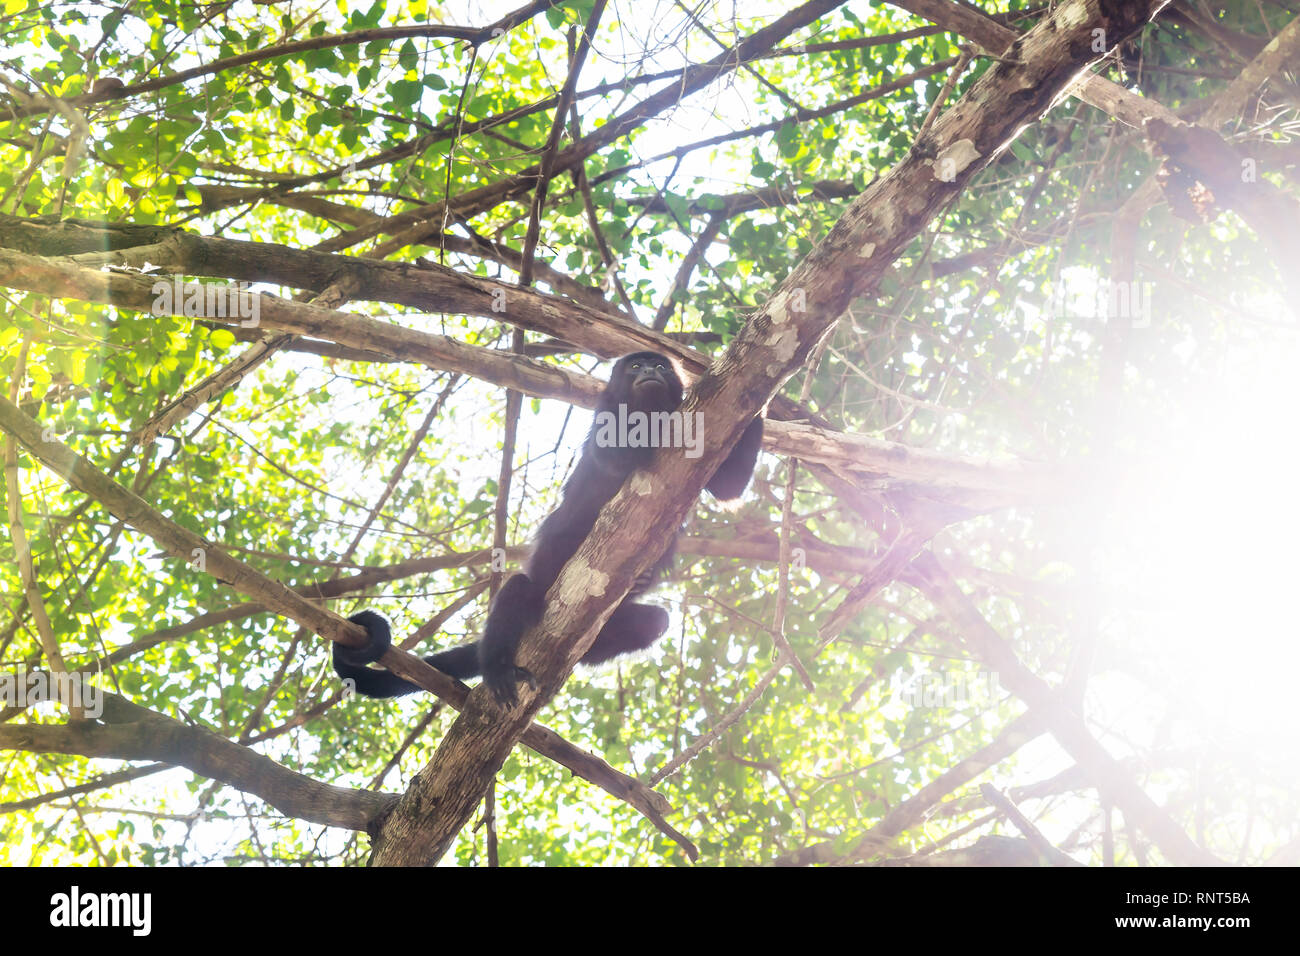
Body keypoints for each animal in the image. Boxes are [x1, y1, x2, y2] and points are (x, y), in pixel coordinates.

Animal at [334, 351, 764, 705]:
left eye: (659, 365)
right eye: (636, 367)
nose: (651, 373)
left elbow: (727, 488)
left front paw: (761, 405)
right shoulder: (606, 416)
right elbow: (621, 456)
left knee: (655, 621)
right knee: (517, 589)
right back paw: (498, 670)